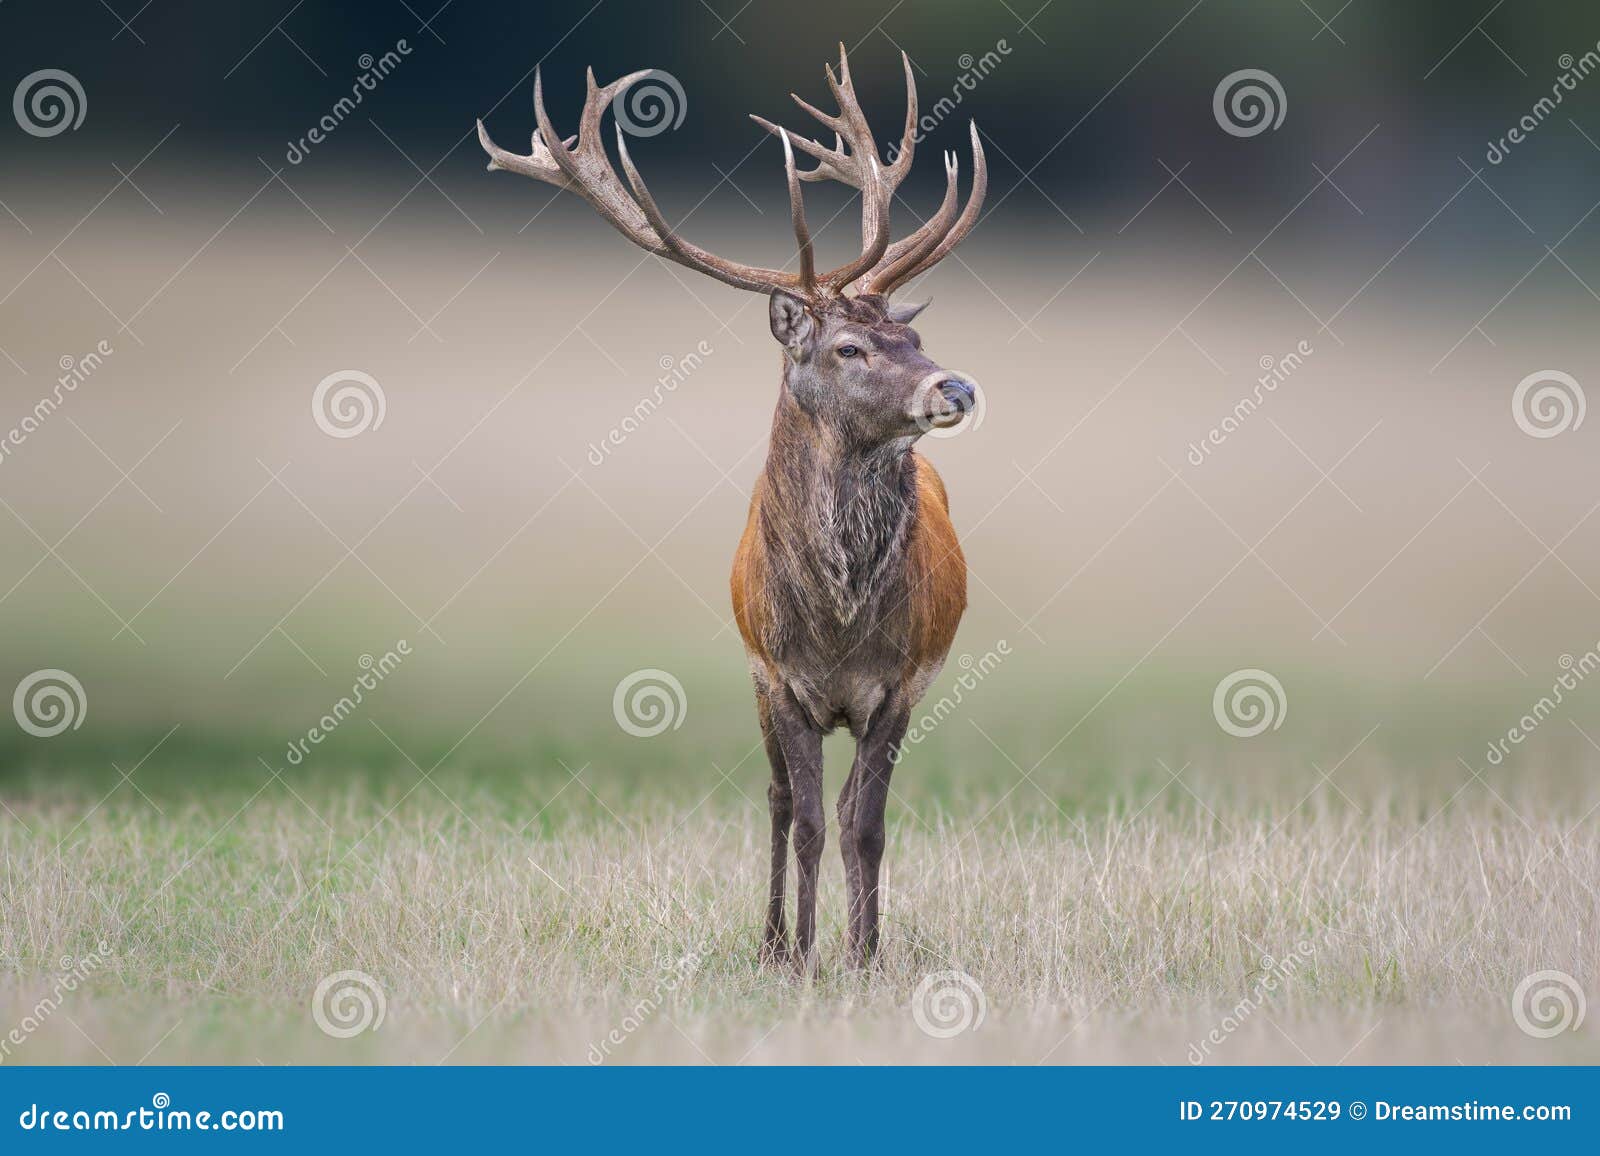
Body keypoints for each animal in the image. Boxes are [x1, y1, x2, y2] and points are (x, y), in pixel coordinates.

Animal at [478, 45, 986, 972]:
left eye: (915, 339)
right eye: (848, 348)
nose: (955, 386)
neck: (837, 622)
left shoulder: (900, 684)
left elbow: (866, 825)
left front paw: (865, 954)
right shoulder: (778, 675)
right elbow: (810, 819)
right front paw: (807, 955)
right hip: (755, 676)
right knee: (781, 799)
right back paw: (775, 941)